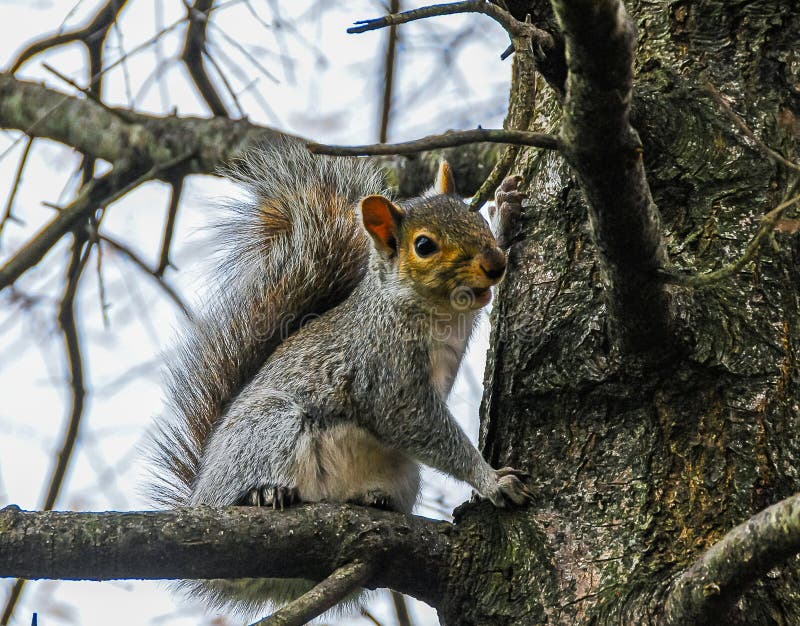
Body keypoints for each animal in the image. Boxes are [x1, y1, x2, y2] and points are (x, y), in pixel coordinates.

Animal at [147, 139, 531, 614]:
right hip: (270, 428)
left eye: (471, 215)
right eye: (424, 246)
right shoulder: (384, 371)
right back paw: (262, 494)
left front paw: (505, 215)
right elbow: (414, 422)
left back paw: (372, 499)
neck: (433, 310)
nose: (494, 264)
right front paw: (491, 480)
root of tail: (199, 495)